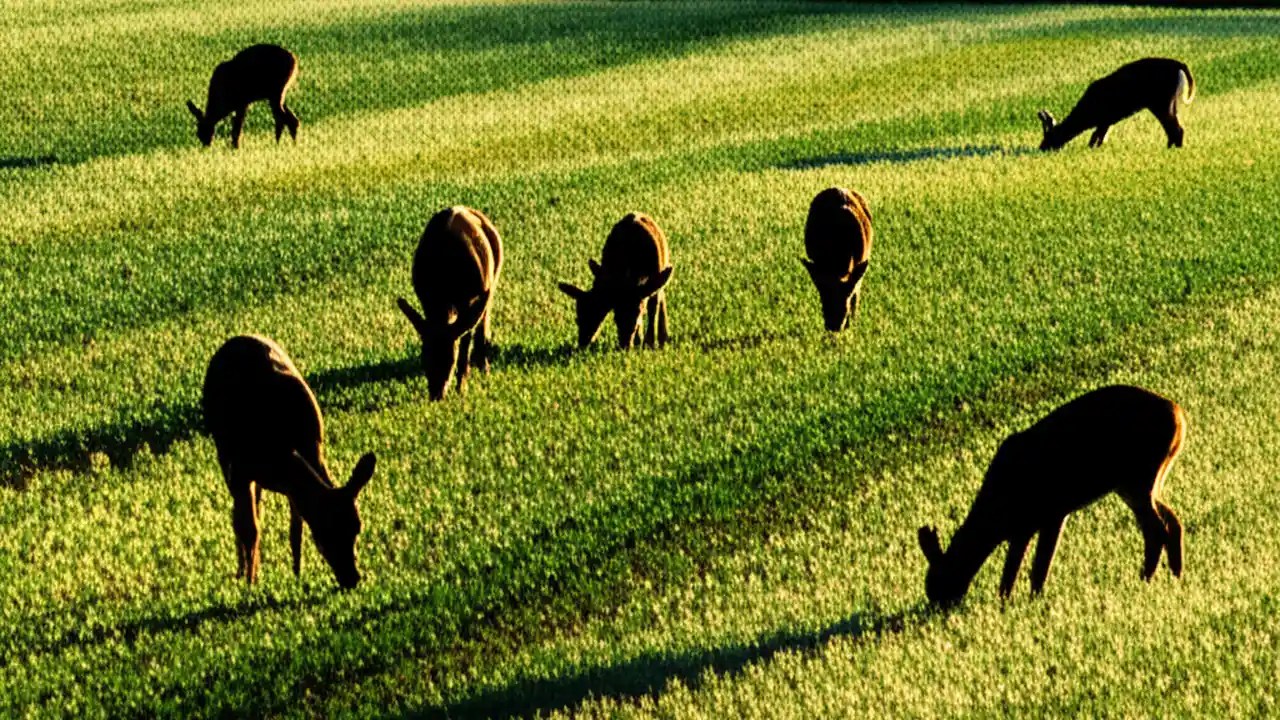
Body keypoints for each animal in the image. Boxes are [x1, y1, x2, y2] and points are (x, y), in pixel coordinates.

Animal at [202, 335, 377, 589]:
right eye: (324, 532)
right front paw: (250, 583)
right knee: (240, 516)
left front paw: (297, 574)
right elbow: (249, 528)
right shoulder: (241, 468)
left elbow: (296, 529)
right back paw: (243, 571)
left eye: (357, 527)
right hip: (223, 451)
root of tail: (235, 339)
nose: (352, 578)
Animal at [397, 206, 503, 401]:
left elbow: (465, 341)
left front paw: (461, 387)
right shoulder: (425, 299)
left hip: (493, 279)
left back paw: (484, 367)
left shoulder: (469, 299)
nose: (436, 395)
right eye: (424, 357)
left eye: (450, 361)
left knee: (483, 321)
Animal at [557, 212, 673, 350]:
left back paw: (662, 339)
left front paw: (648, 344)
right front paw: (639, 342)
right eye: (578, 318)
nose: (582, 342)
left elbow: (652, 311)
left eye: (596, 314)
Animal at [917, 385, 1186, 607]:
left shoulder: (1038, 517)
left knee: (1157, 529)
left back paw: (1145, 579)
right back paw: (1175, 575)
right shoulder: (1047, 518)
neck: (995, 514)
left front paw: (1011, 601)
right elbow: (1035, 566)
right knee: (1173, 521)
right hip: (1144, 482)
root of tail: (1180, 419)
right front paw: (1029, 599)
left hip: (1139, 477)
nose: (937, 608)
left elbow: (1025, 568)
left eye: (939, 582)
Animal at [1038, 57, 1195, 151]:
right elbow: (1100, 136)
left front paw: (1090, 148)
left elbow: (1096, 136)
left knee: (1175, 128)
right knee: (1174, 127)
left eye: (1050, 136)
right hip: (1169, 102)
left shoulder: (1104, 117)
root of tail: (1180, 65)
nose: (1042, 148)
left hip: (1161, 101)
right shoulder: (1107, 120)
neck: (1087, 114)